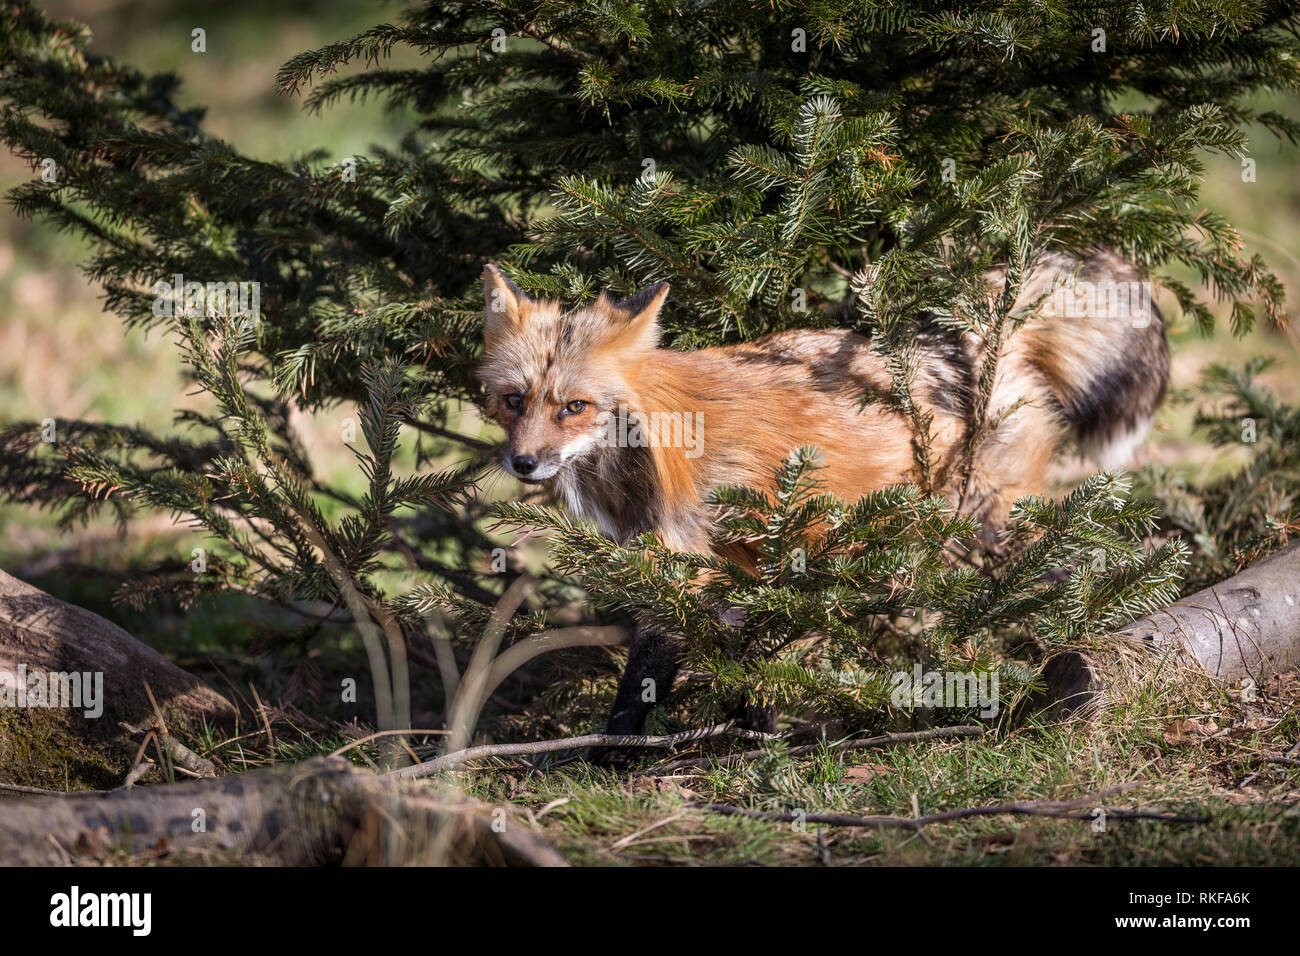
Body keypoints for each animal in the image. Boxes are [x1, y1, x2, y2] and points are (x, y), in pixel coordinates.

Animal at [477, 250, 1168, 751]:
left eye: (574, 406)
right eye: (513, 400)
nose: (523, 463)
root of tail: (958, 344)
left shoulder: (714, 552)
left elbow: (663, 676)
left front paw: (621, 755)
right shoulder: (717, 561)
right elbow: (740, 661)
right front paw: (753, 734)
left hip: (991, 522)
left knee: (1066, 568)